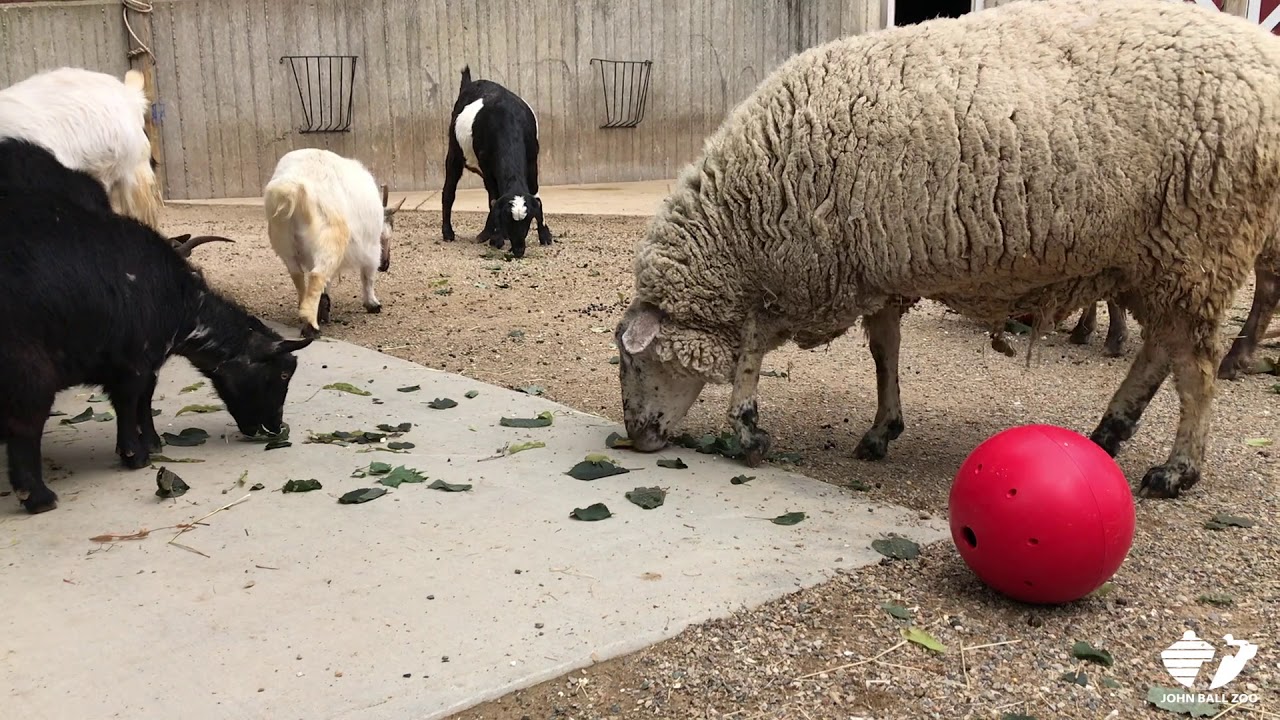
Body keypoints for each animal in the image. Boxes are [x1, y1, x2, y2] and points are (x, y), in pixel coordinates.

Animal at [0, 184, 313, 514]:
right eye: (281, 374)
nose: (275, 427)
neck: (184, 304)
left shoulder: (145, 362)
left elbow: (144, 400)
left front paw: (150, 442)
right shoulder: (134, 361)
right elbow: (129, 403)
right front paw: (136, 454)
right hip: (29, 369)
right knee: (26, 425)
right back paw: (38, 497)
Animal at [264, 148, 404, 339]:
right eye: (387, 235)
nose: (385, 265)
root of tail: (294, 187)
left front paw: (324, 308)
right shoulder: (372, 250)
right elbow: (368, 277)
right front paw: (373, 304)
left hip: (285, 243)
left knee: (298, 275)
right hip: (331, 239)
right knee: (317, 276)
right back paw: (311, 326)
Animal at [441, 65, 553, 259]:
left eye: (527, 221)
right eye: (508, 220)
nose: (519, 250)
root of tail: (470, 83)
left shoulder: (532, 160)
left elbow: (535, 194)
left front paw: (545, 234)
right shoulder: (487, 165)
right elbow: (493, 198)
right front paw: (496, 238)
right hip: (454, 152)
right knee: (449, 191)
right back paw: (449, 233)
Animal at [613, 0, 1280, 501]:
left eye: (631, 363)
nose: (637, 437)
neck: (741, 213)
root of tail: (1262, 54)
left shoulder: (800, 272)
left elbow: (750, 352)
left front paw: (745, 429)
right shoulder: (872, 268)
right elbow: (884, 352)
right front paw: (881, 429)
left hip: (1200, 241)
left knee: (1195, 369)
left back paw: (1177, 469)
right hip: (1153, 257)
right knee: (1161, 350)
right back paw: (1111, 429)